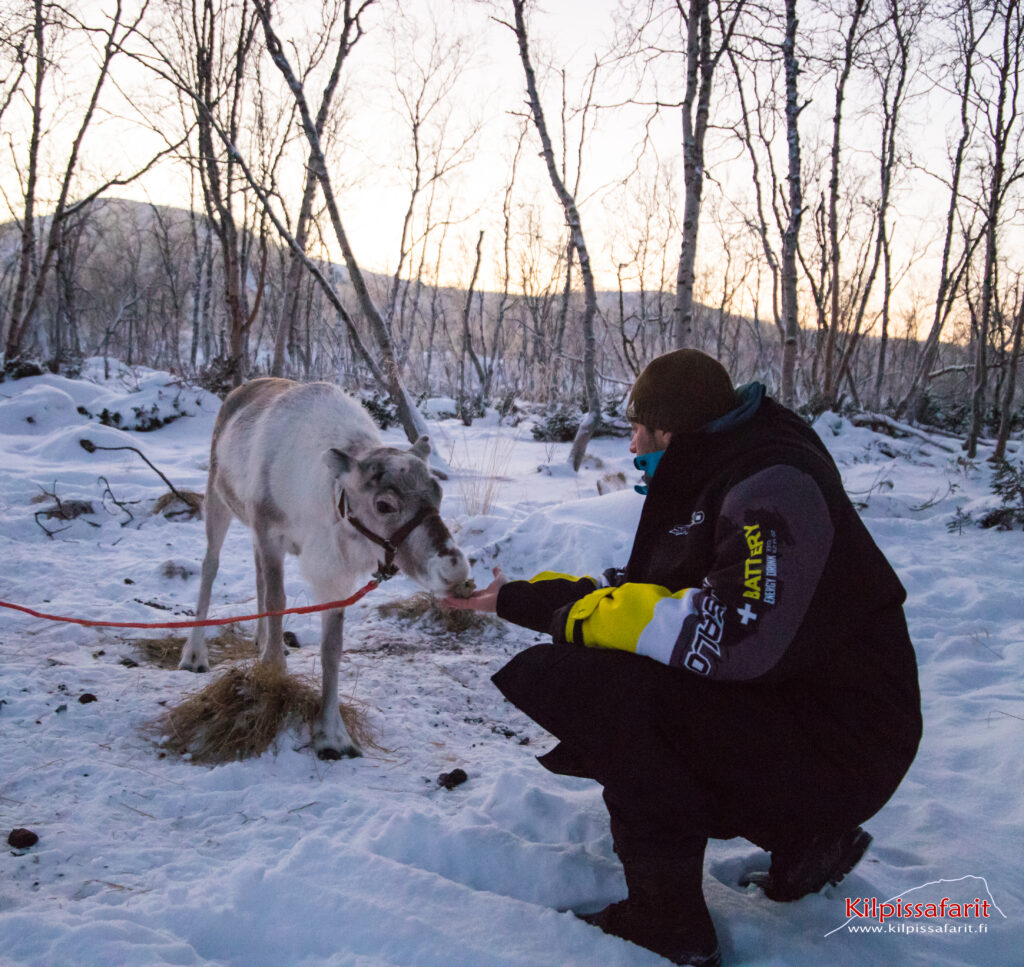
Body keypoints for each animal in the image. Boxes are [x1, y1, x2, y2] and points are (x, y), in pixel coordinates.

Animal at [178, 377, 473, 759]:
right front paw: (272, 671)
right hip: (219, 499)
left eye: (438, 493)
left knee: (257, 576)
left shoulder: (333, 570)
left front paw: (333, 735)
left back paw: (261, 640)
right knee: (210, 568)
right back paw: (195, 653)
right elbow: (277, 601)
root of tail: (240, 390)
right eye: (384, 504)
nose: (456, 570)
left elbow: (331, 648)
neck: (327, 496)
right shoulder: (270, 532)